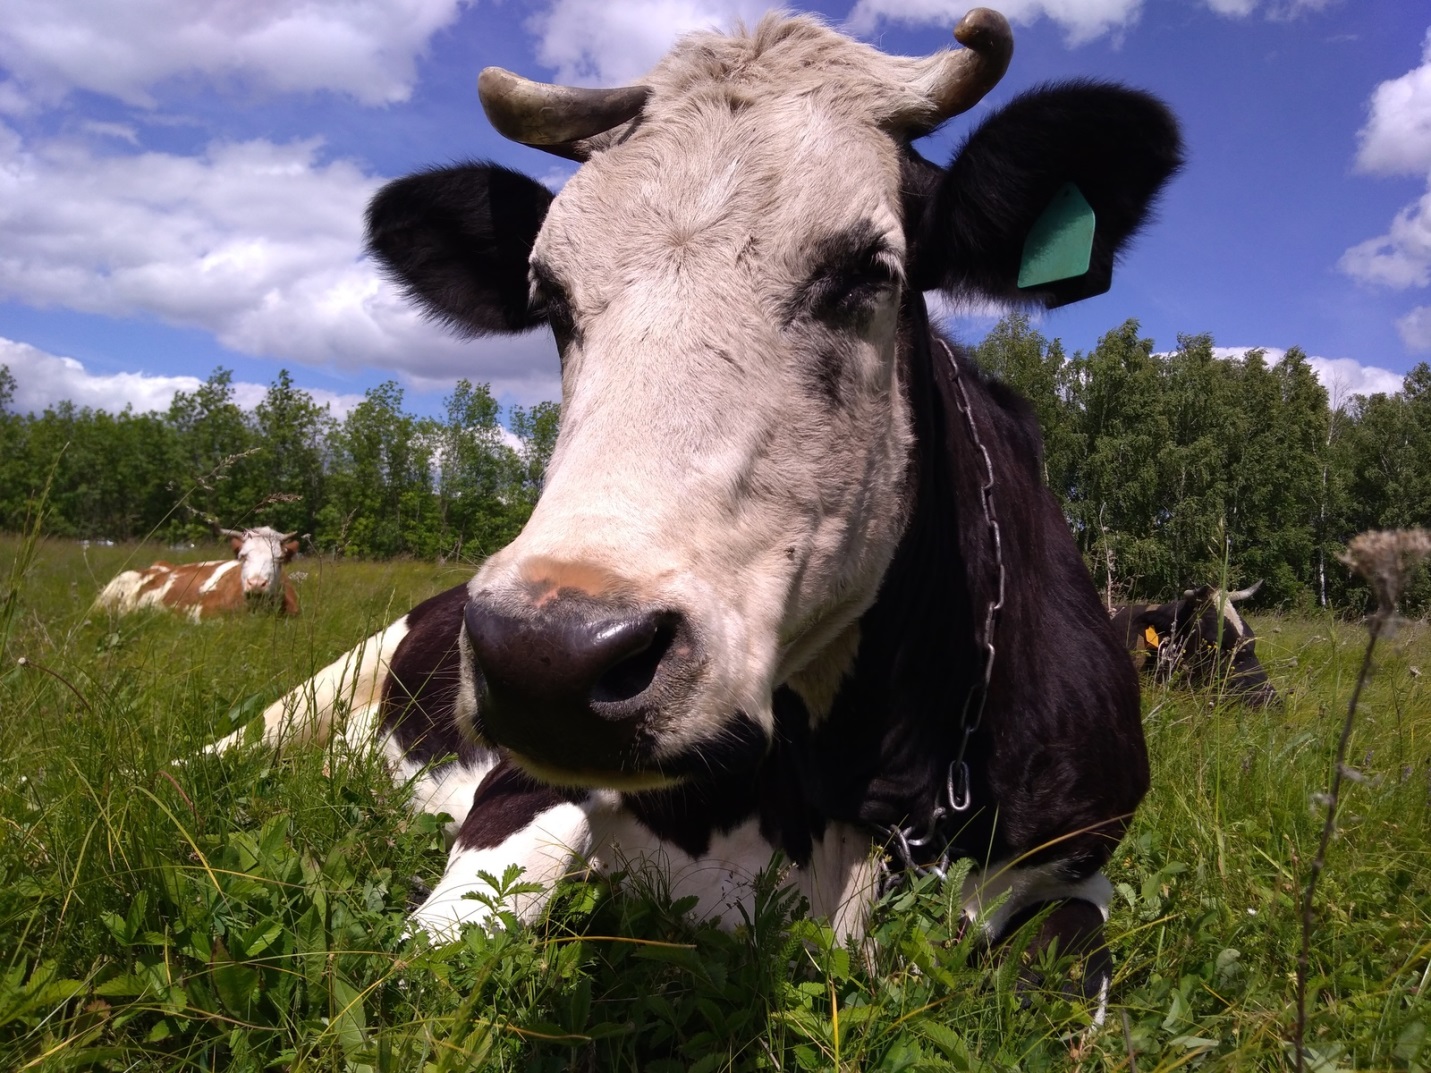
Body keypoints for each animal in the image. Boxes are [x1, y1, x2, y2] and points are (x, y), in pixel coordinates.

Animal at [208, 8, 1182, 1011]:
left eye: (866, 272)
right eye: (548, 296)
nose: (544, 653)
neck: (864, 783)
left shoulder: (1074, 869)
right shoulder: (522, 788)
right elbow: (435, 955)